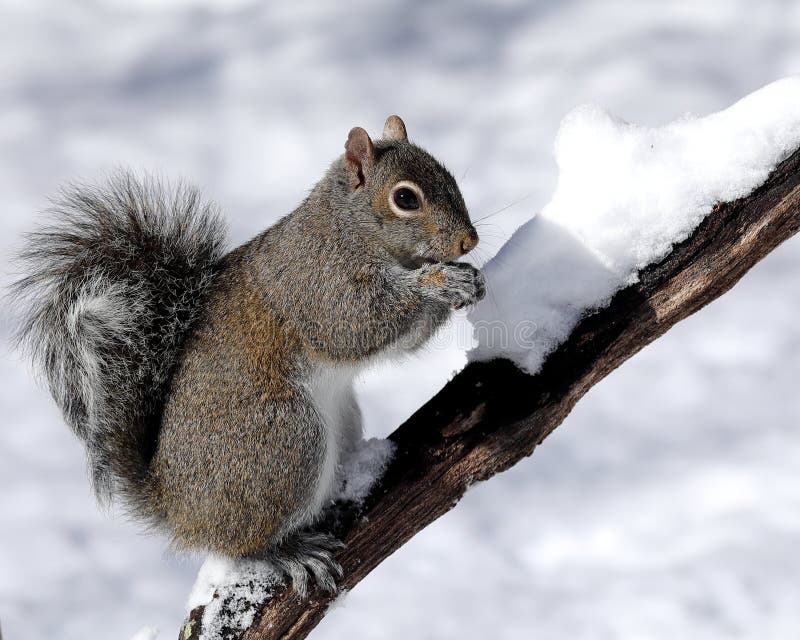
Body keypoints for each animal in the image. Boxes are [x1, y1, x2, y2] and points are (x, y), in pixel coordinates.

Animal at [13, 115, 484, 595]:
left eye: (447, 174)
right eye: (405, 198)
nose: (469, 241)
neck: (348, 229)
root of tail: (176, 508)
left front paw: (469, 280)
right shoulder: (318, 284)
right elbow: (358, 324)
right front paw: (439, 282)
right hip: (285, 442)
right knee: (239, 545)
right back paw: (286, 553)